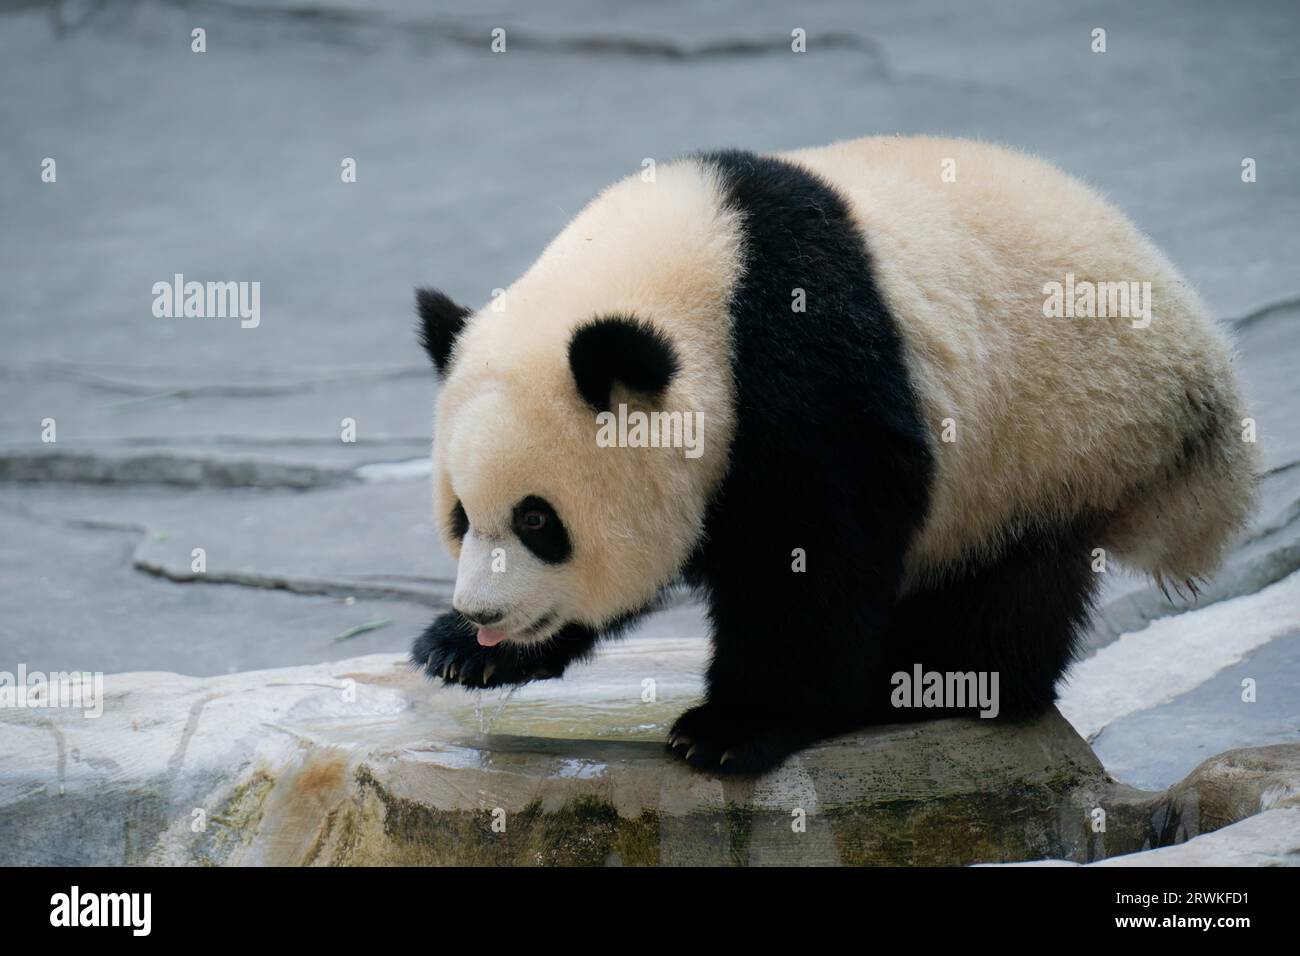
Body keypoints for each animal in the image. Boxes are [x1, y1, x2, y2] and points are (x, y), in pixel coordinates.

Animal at [411, 136, 1258, 774]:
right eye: (460, 516)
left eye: (538, 520)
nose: (482, 613)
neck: (708, 269)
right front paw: (461, 654)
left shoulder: (806, 368)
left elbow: (818, 550)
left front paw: (732, 728)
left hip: (1057, 448)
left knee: (1005, 598)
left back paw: (916, 684)